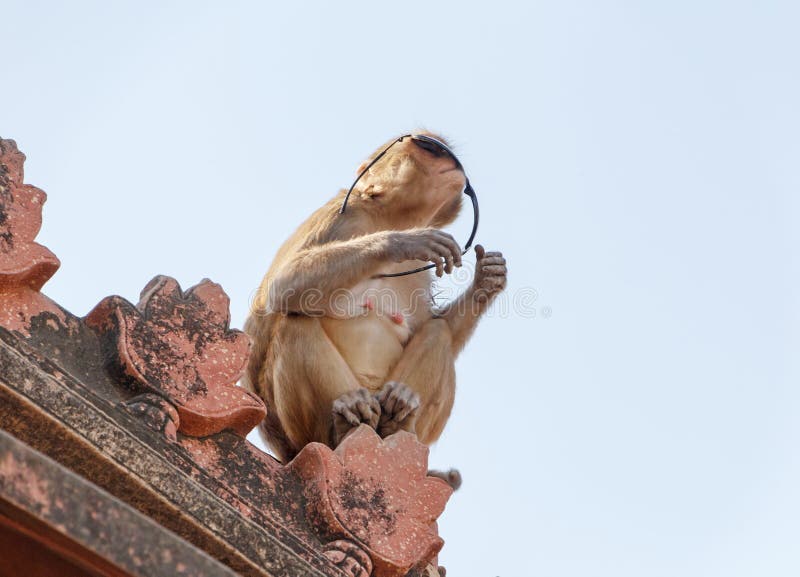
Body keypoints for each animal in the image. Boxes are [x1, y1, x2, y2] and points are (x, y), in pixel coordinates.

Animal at [242, 132, 507, 470]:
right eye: (429, 147)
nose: (453, 162)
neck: (388, 216)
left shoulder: (419, 274)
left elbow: (429, 323)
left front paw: (487, 281)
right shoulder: (340, 216)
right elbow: (282, 286)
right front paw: (402, 241)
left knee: (438, 333)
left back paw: (399, 421)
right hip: (304, 432)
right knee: (294, 321)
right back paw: (344, 426)